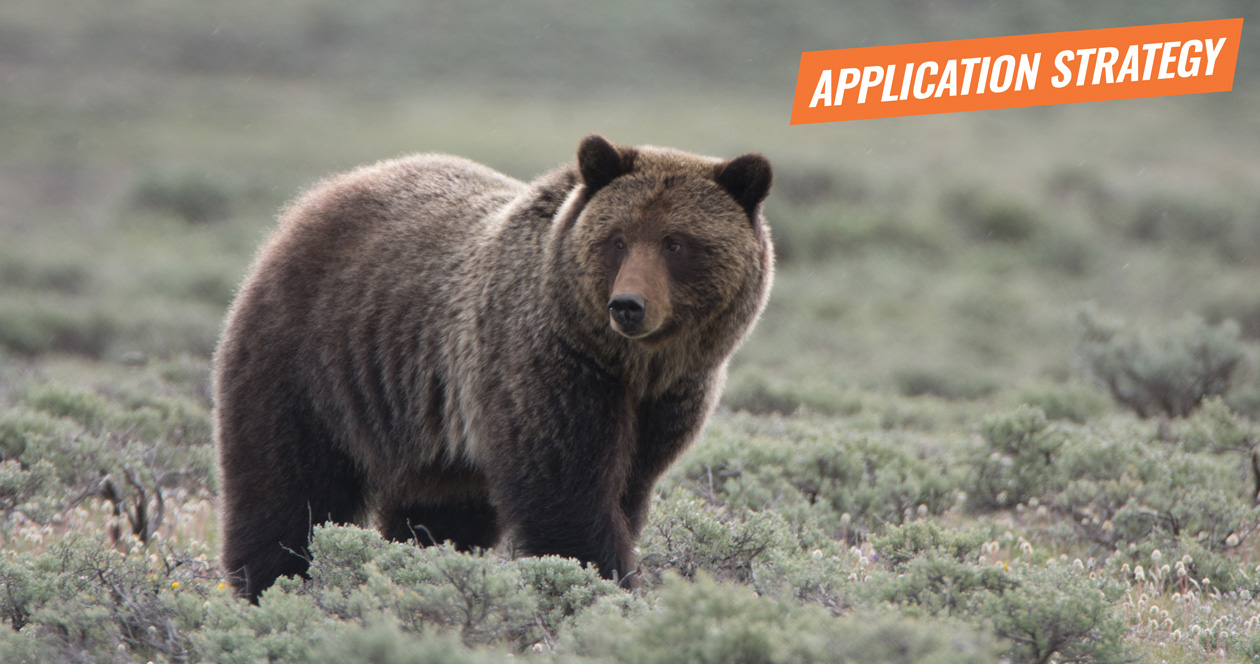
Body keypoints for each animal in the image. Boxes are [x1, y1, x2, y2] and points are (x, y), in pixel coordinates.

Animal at [213, 135, 774, 601]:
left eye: (675, 242)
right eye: (617, 239)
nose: (628, 305)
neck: (630, 365)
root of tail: (309, 203)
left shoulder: (667, 398)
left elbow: (626, 489)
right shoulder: (549, 369)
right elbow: (567, 492)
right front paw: (603, 582)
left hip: (433, 439)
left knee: (439, 516)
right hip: (310, 361)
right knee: (287, 487)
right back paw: (272, 585)